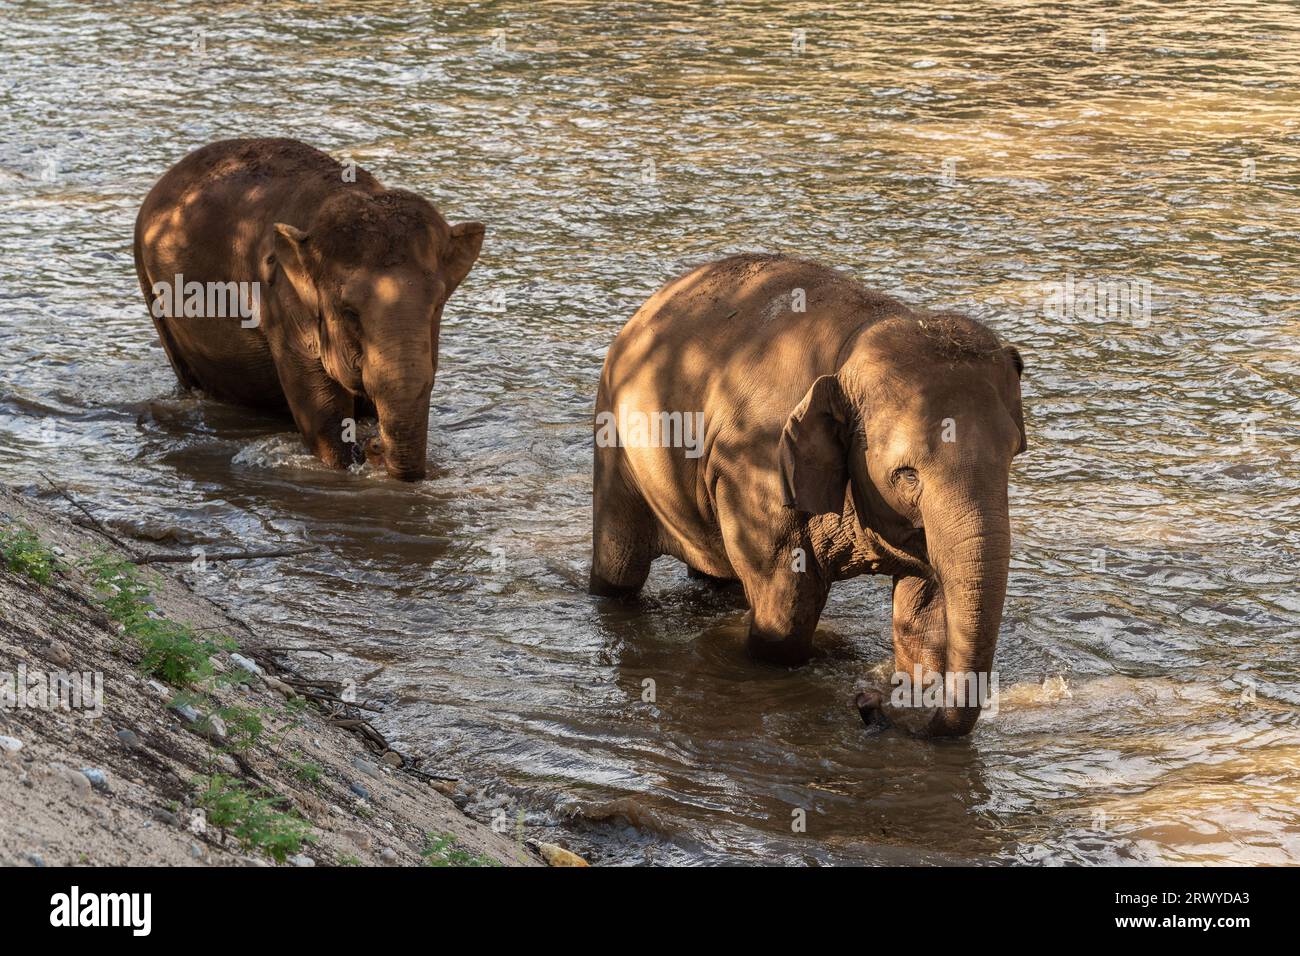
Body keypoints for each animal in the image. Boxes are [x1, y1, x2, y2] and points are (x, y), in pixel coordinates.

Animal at [133, 137, 484, 481]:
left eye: (437, 305)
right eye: (349, 311)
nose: (374, 445)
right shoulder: (284, 305)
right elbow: (323, 415)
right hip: (151, 289)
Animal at [590, 254, 1026, 737]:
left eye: (1012, 456)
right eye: (907, 475)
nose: (868, 702)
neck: (855, 345)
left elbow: (925, 607)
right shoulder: (757, 468)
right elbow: (784, 620)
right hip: (616, 445)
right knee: (620, 568)